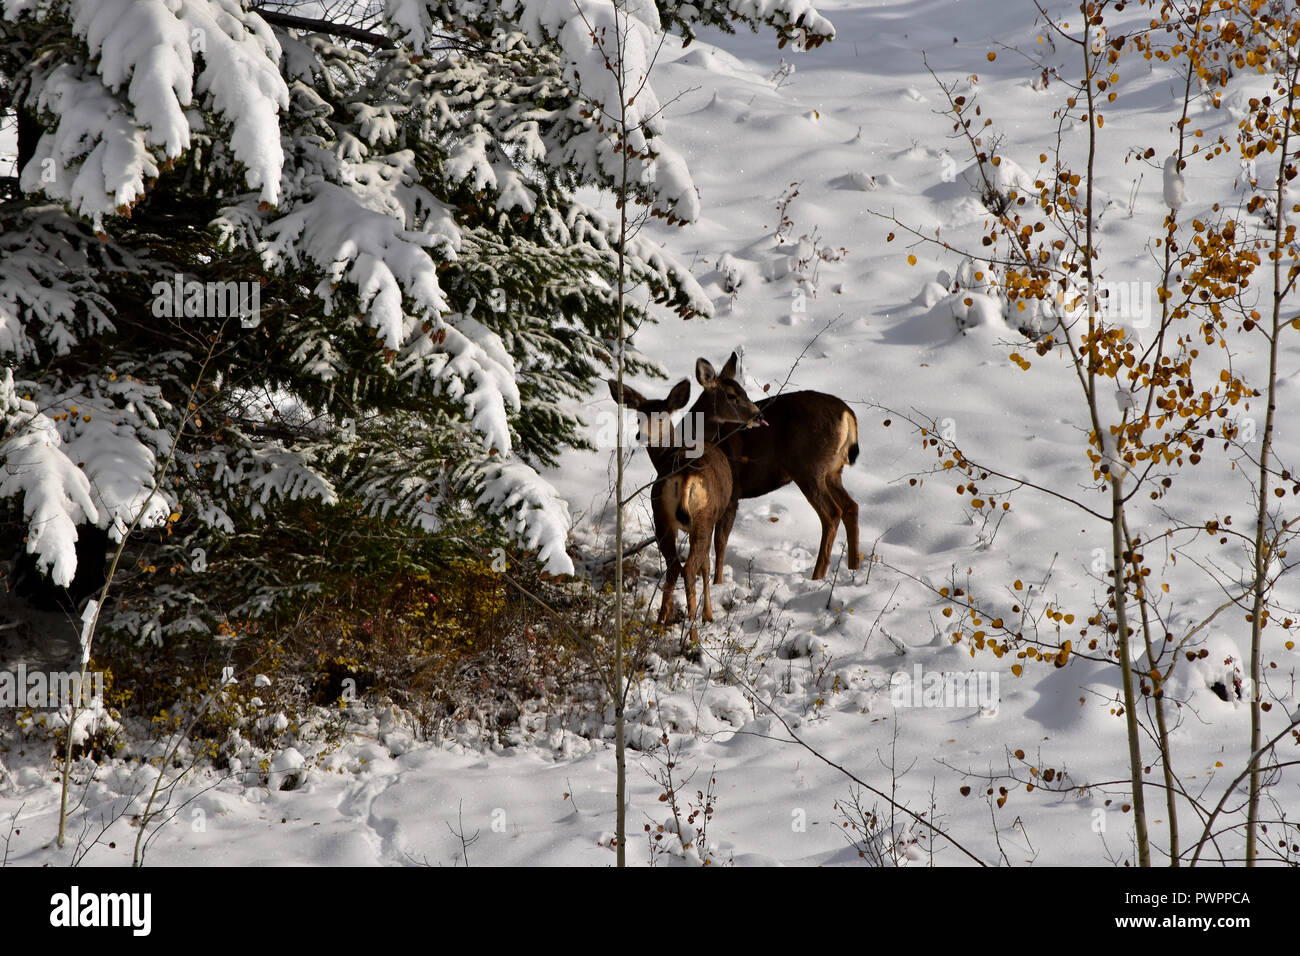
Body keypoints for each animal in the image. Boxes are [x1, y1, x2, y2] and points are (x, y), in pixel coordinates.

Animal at [607, 377, 762, 640]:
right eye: (732, 395)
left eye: (660, 416)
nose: (756, 414)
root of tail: (686, 473)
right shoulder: (713, 518)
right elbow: (706, 565)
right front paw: (708, 615)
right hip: (702, 518)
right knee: (689, 568)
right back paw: (692, 631)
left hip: (661, 515)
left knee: (673, 568)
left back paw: (660, 622)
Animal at [689, 352, 861, 582]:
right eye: (731, 395)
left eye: (745, 392)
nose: (759, 416)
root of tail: (848, 414)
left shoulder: (733, 492)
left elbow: (719, 541)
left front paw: (717, 583)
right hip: (833, 470)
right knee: (851, 506)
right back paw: (853, 570)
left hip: (809, 467)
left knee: (832, 513)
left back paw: (817, 576)